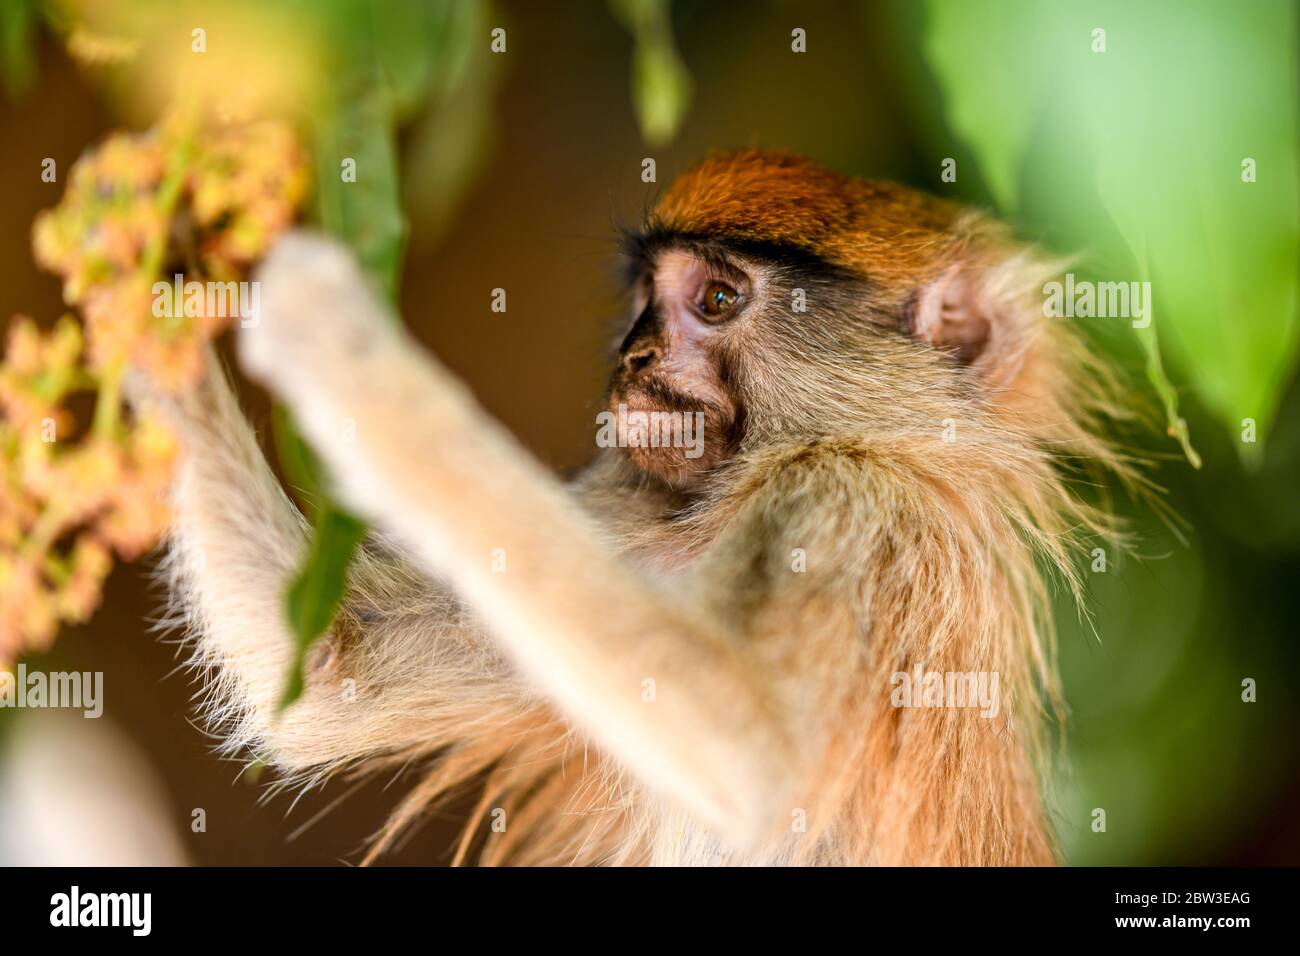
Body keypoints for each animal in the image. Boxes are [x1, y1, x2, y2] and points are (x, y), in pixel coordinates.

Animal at [143, 149, 1139, 866]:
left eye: (718, 298)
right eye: (644, 300)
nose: (635, 358)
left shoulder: (844, 505)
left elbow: (754, 759)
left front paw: (342, 348)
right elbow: (332, 669)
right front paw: (150, 278)